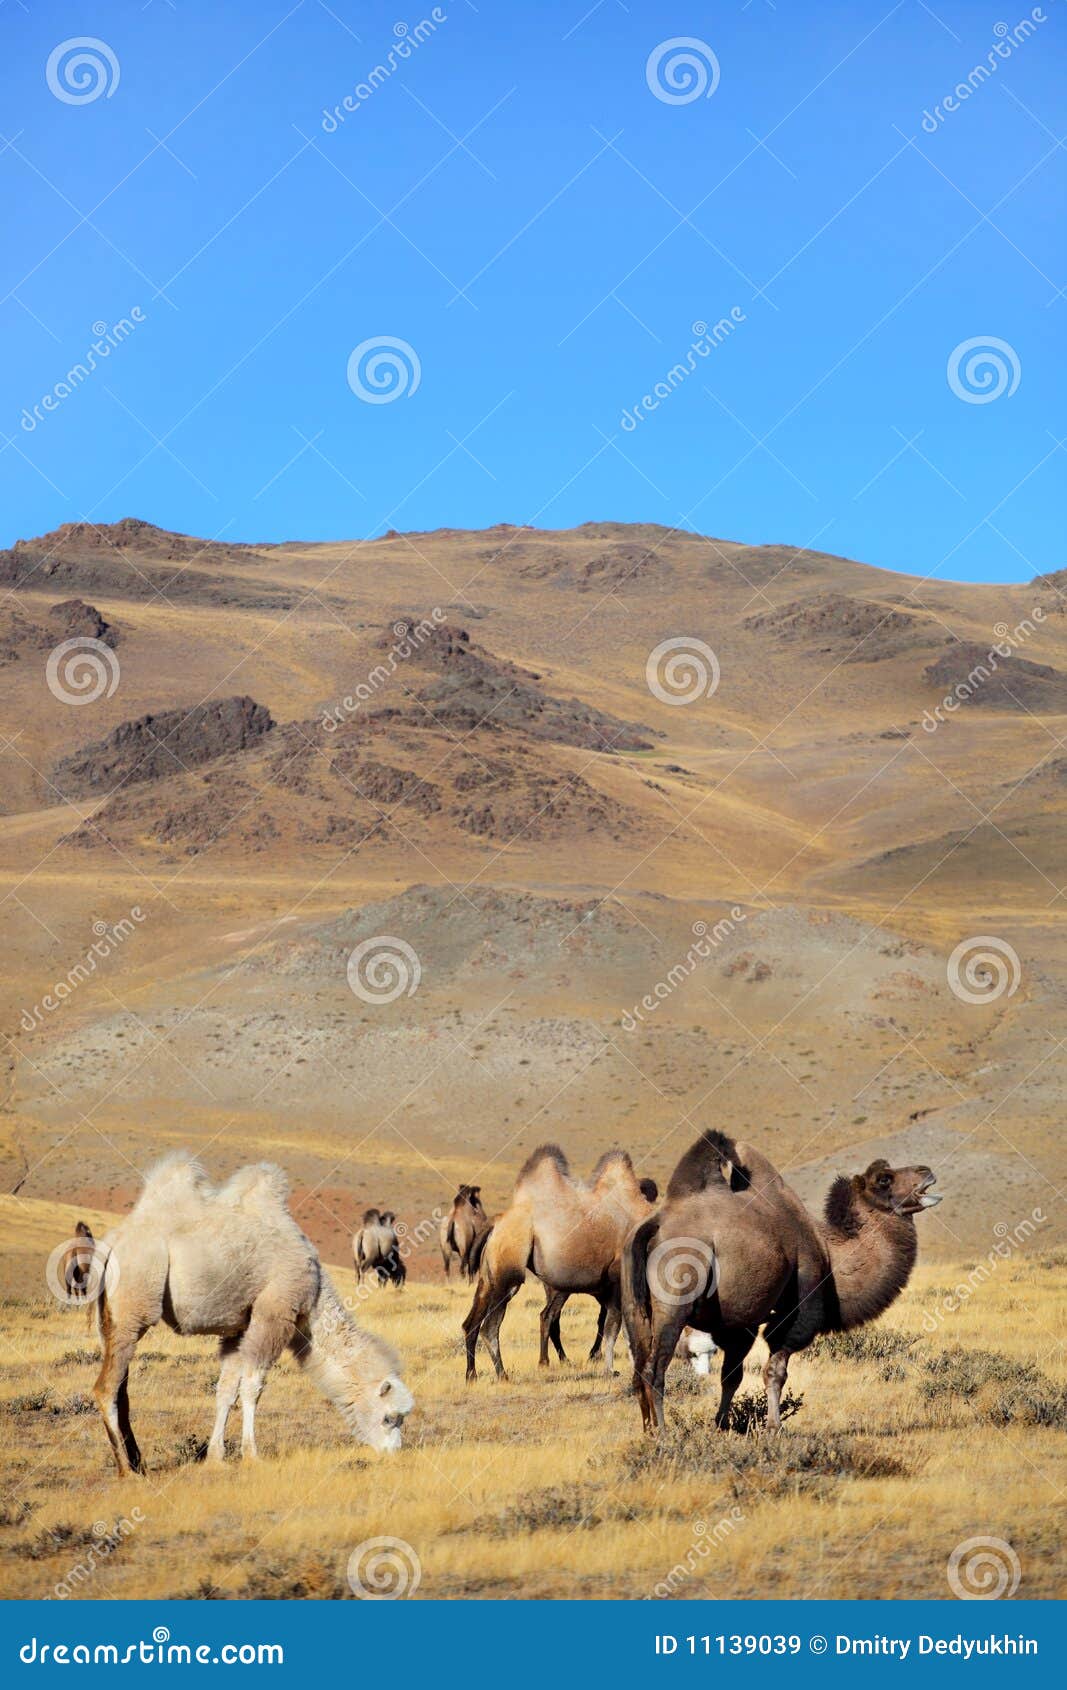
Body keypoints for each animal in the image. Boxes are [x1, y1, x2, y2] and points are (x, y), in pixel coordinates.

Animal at [92, 1154, 413, 1476]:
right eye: (389, 1417)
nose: (394, 1452)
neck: (315, 1296)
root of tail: (110, 1244)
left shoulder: (238, 1330)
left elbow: (225, 1390)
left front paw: (216, 1456)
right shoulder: (273, 1316)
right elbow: (253, 1387)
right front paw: (251, 1454)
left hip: (109, 1320)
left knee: (121, 1390)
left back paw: (138, 1462)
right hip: (134, 1304)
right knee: (105, 1389)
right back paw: (126, 1469)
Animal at [463, 1145, 655, 1382]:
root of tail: (497, 1222)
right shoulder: (618, 1280)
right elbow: (614, 1326)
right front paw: (611, 1370)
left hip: (489, 1277)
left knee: (471, 1323)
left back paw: (471, 1375)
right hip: (508, 1275)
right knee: (491, 1327)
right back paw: (503, 1374)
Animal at [622, 1128, 941, 1435]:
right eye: (884, 1179)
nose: (926, 1171)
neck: (829, 1254)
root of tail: (656, 1226)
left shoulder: (742, 1322)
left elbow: (732, 1376)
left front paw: (722, 1425)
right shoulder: (795, 1313)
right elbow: (775, 1372)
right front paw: (774, 1428)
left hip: (634, 1307)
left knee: (639, 1369)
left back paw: (648, 1430)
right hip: (675, 1299)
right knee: (654, 1370)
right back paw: (664, 1434)